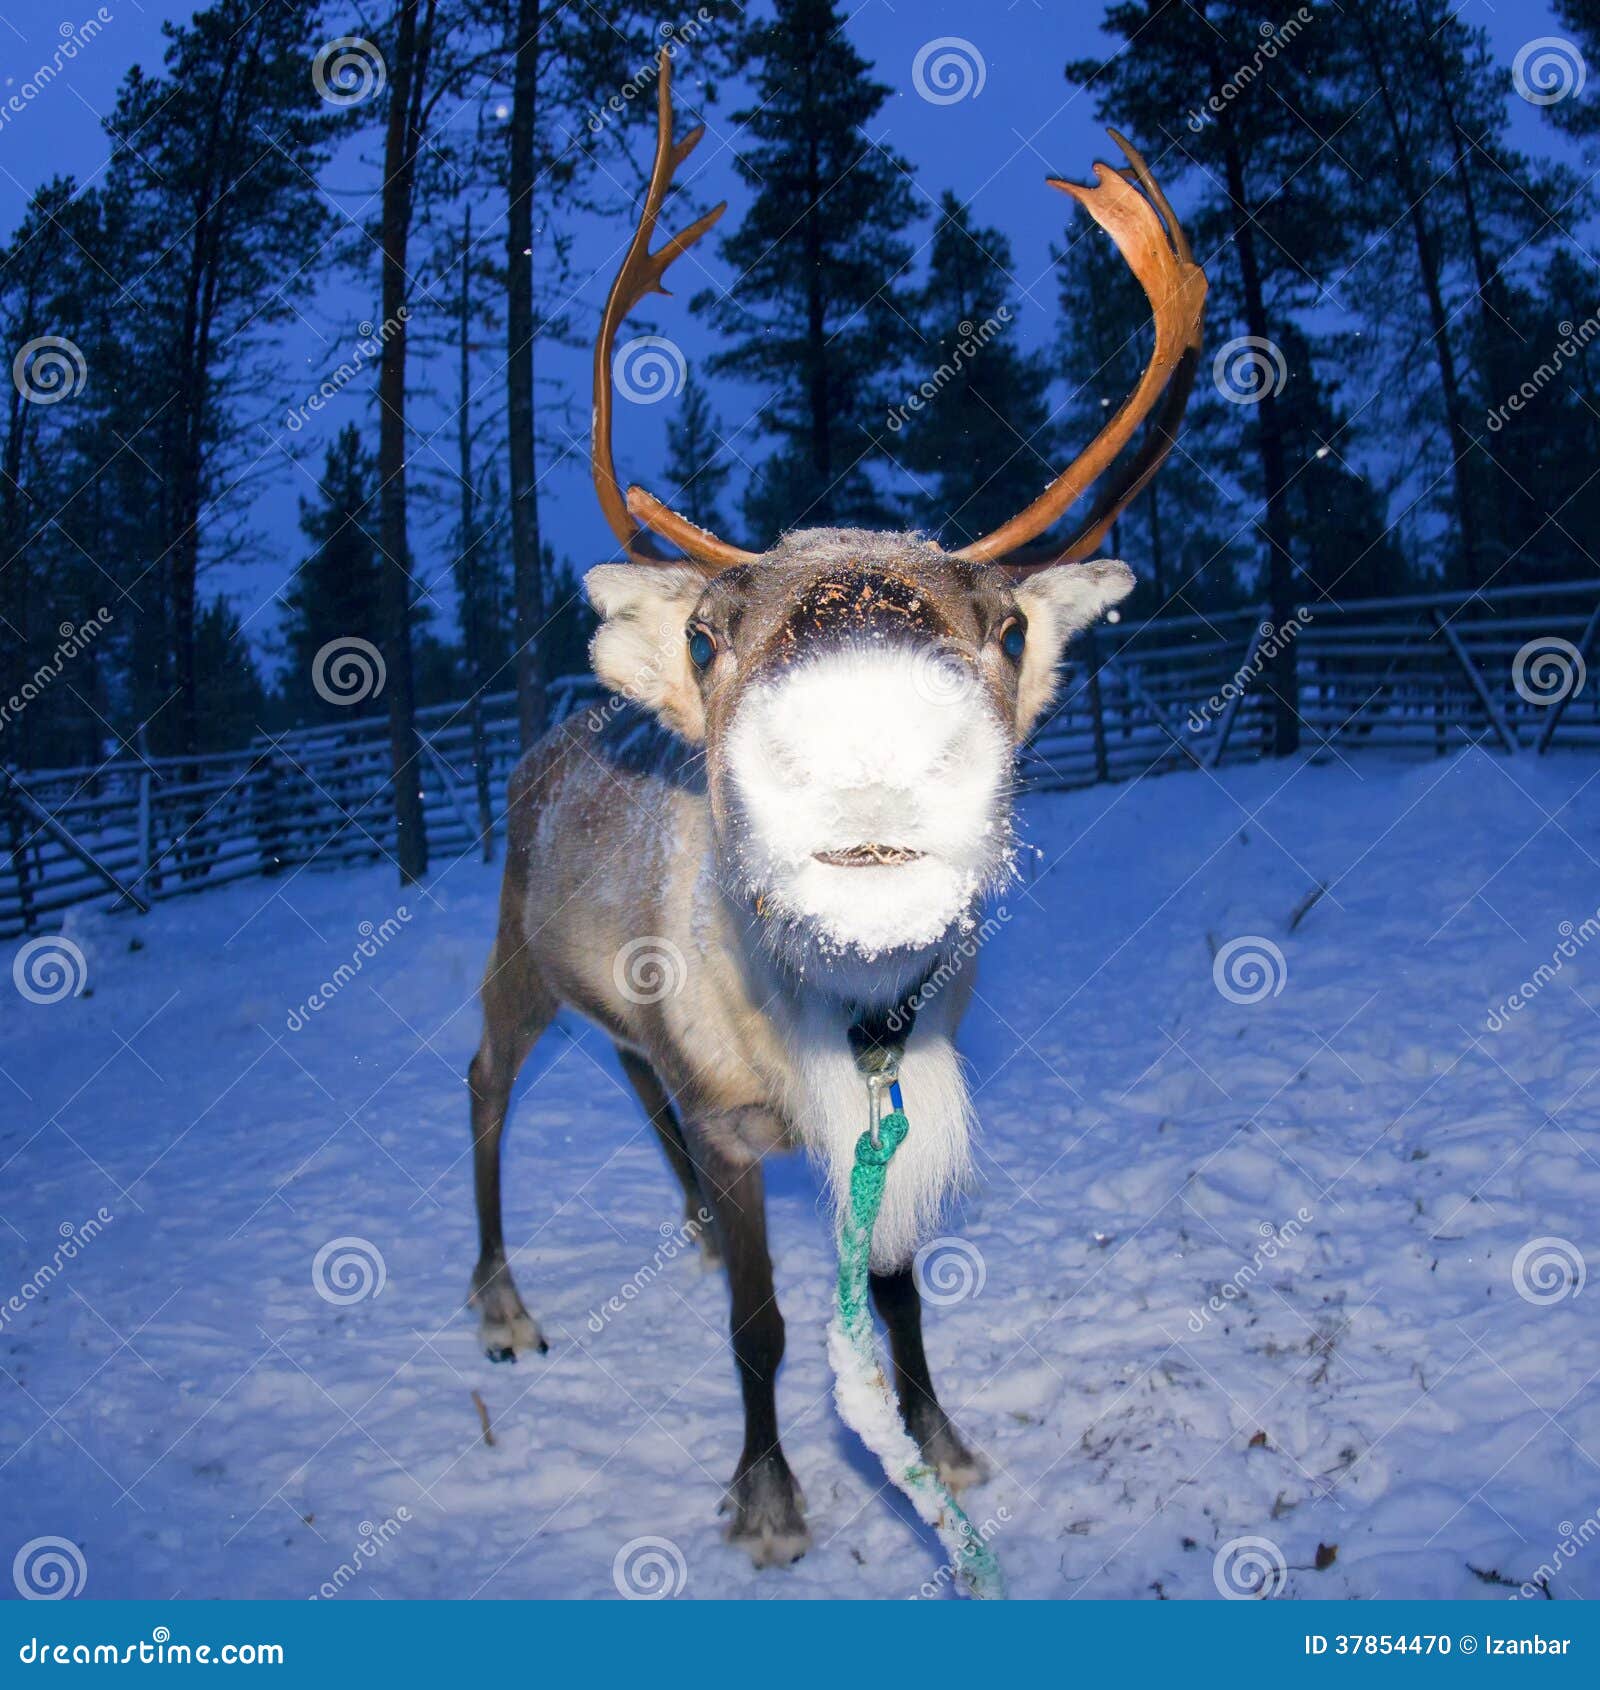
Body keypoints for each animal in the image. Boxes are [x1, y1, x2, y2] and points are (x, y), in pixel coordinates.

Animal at [466, 52, 1206, 1566]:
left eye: (1004, 628)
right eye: (707, 636)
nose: (867, 739)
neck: (831, 1025)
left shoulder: (891, 1111)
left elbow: (904, 1295)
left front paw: (941, 1439)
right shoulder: (738, 1118)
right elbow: (761, 1327)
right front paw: (767, 1495)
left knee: (623, 1064)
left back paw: (680, 1219)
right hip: (515, 947)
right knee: (486, 1081)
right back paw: (505, 1303)